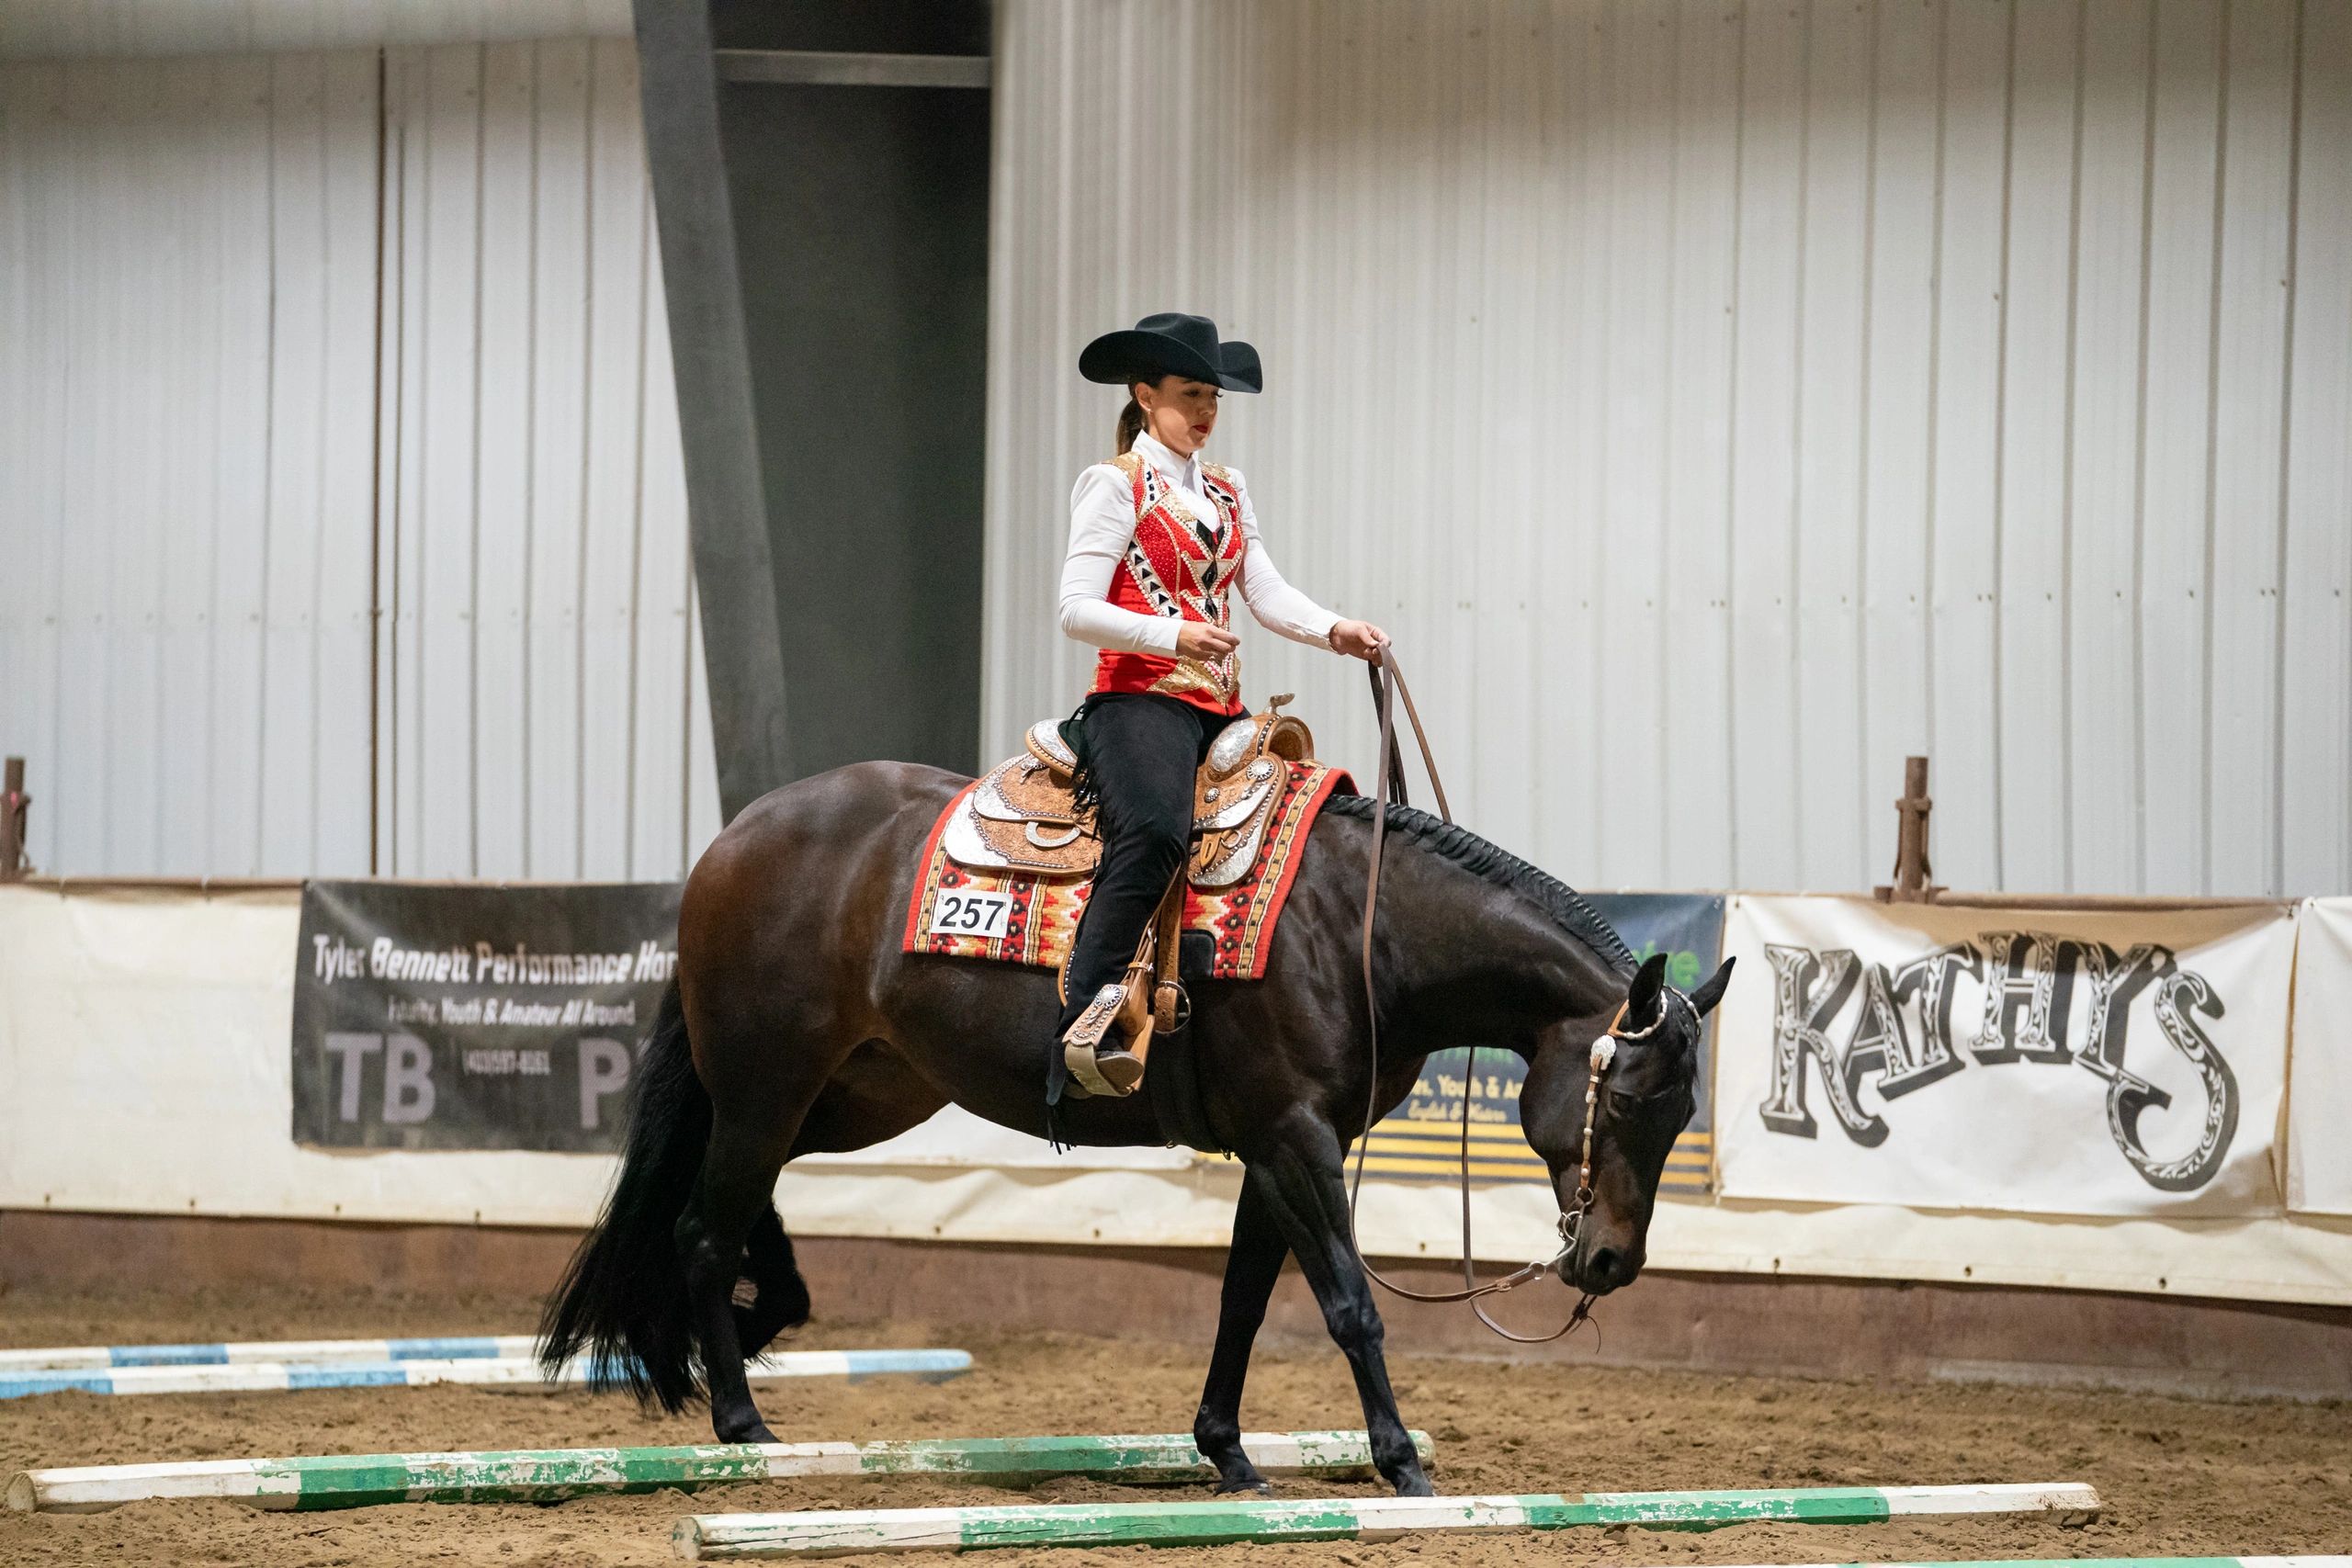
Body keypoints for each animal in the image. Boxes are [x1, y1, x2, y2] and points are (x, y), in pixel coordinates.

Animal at [540, 760, 1733, 1498]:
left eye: (1685, 1114)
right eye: (1631, 1100)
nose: (1612, 1262)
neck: (1359, 928)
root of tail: (731, 840)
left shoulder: (1278, 1146)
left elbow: (1245, 1303)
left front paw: (1229, 1455)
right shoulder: (1294, 1137)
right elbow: (1349, 1305)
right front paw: (1400, 1462)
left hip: (851, 1094)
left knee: (727, 1205)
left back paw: (752, 1325)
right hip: (766, 1082)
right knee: (702, 1227)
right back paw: (741, 1420)